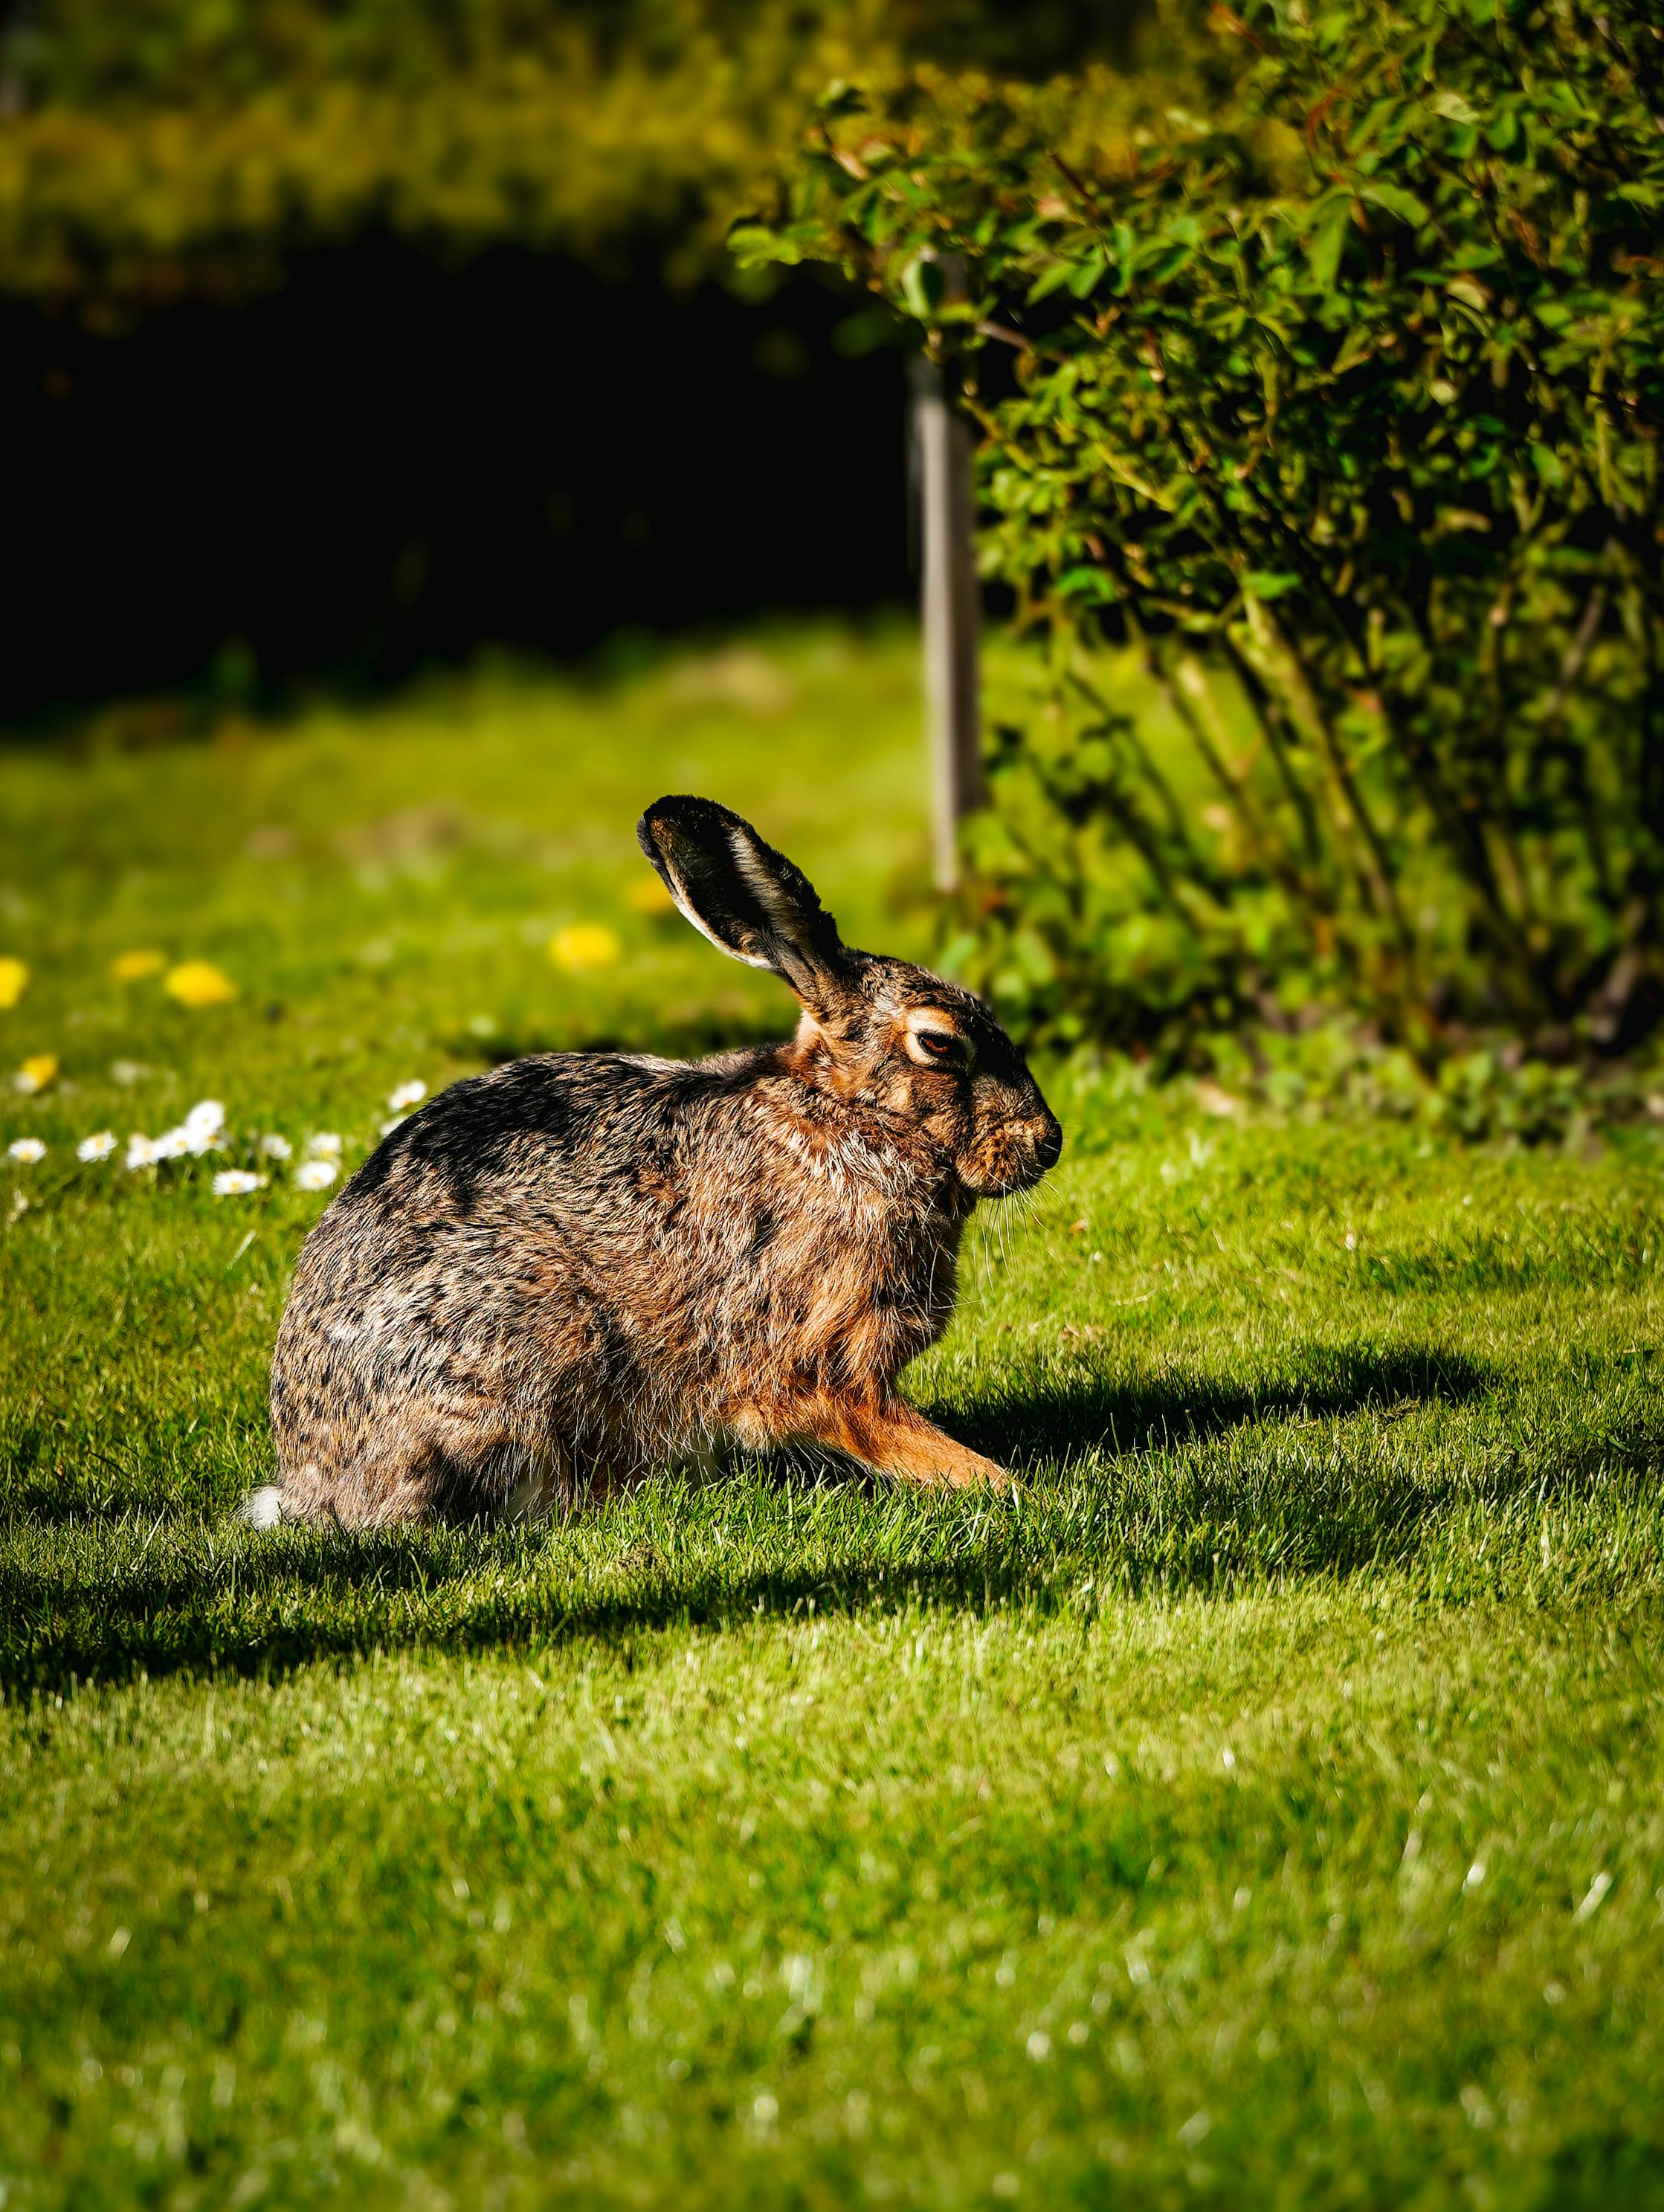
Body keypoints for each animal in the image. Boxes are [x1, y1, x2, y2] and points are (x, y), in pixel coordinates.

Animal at [251, 795, 1062, 1529]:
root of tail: (313, 1481)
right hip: (525, 1346)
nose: (1047, 1142)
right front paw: (1005, 1486)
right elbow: (880, 1424)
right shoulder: (828, 1352)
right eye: (939, 1043)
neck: (849, 1115)